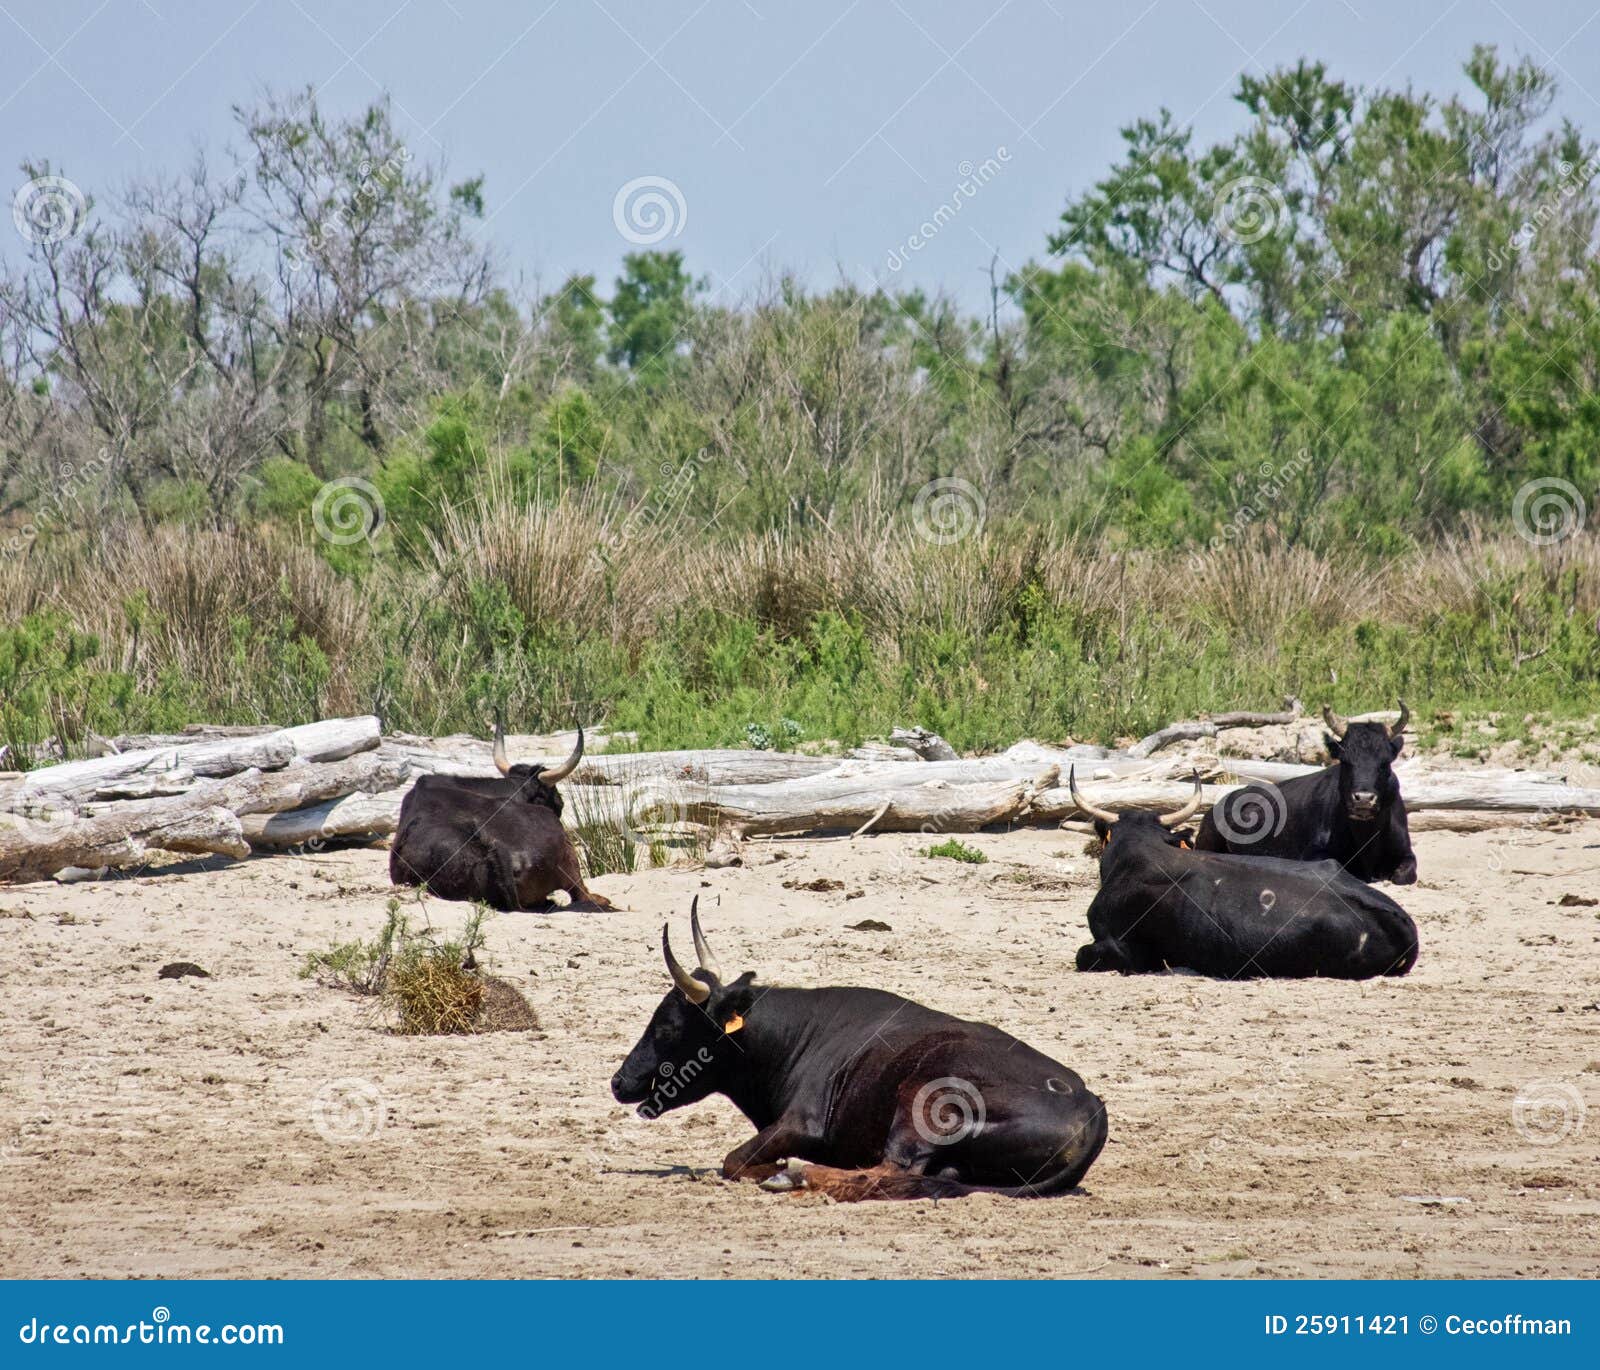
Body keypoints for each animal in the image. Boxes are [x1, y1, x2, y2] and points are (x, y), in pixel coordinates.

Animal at [611, 900, 1108, 1202]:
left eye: (668, 1026)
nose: (619, 1081)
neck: (791, 1038)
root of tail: (1090, 1107)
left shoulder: (802, 1125)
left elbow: (732, 1161)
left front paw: (780, 1167)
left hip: (921, 1109)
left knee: (891, 1170)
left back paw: (797, 1174)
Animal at [1194, 701, 1417, 885]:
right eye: (1345, 761)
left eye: (1385, 763)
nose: (1363, 799)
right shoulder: (1313, 854)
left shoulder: (1407, 853)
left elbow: (1404, 875)